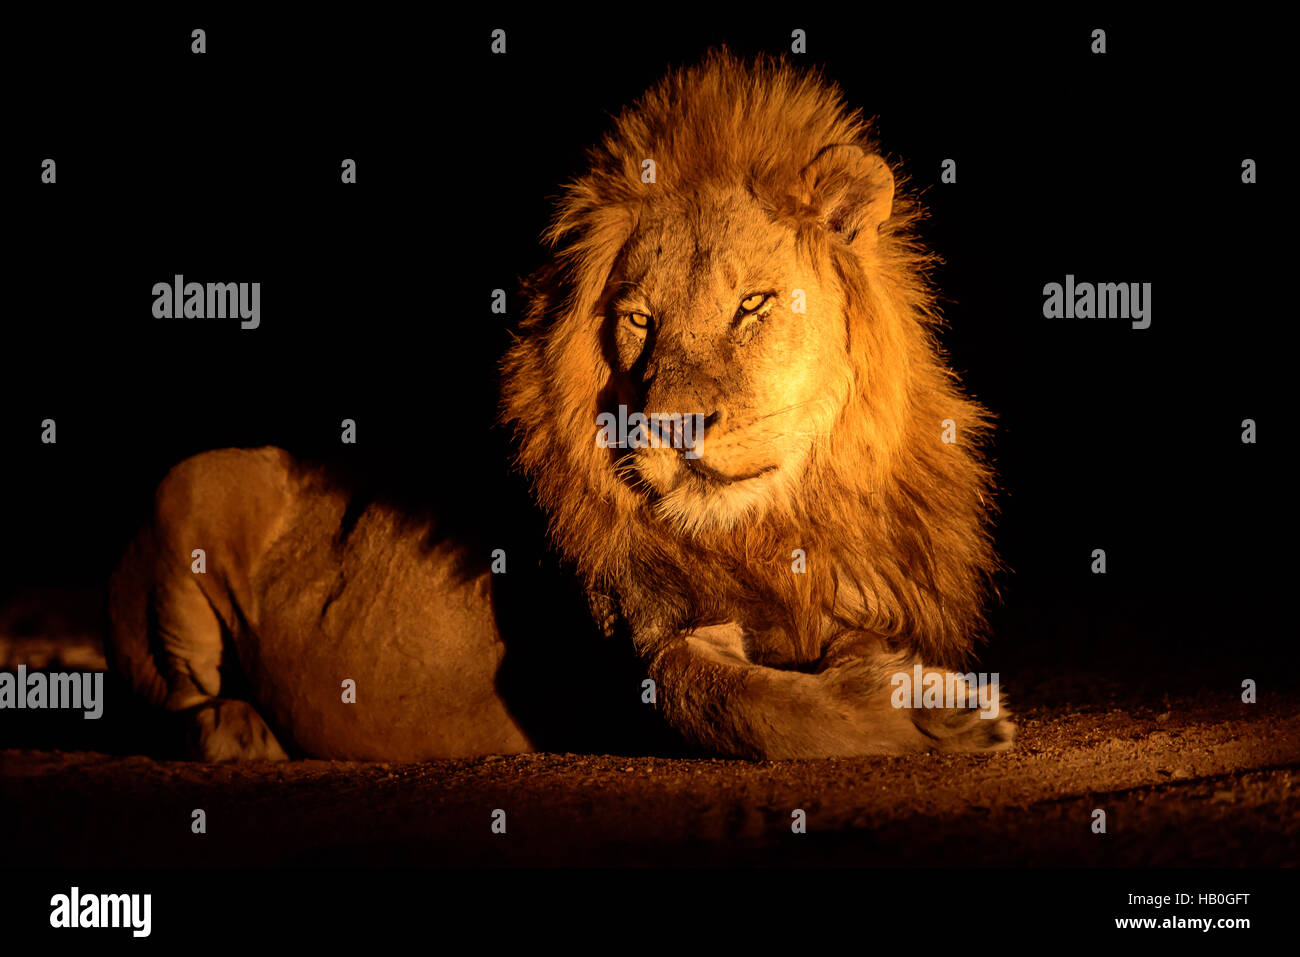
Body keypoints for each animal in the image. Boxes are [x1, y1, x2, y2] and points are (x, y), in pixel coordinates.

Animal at [106, 50, 1012, 761]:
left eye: (752, 304)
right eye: (640, 319)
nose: (674, 427)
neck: (772, 520)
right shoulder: (613, 658)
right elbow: (736, 705)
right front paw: (939, 716)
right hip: (197, 485)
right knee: (169, 700)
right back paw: (238, 730)